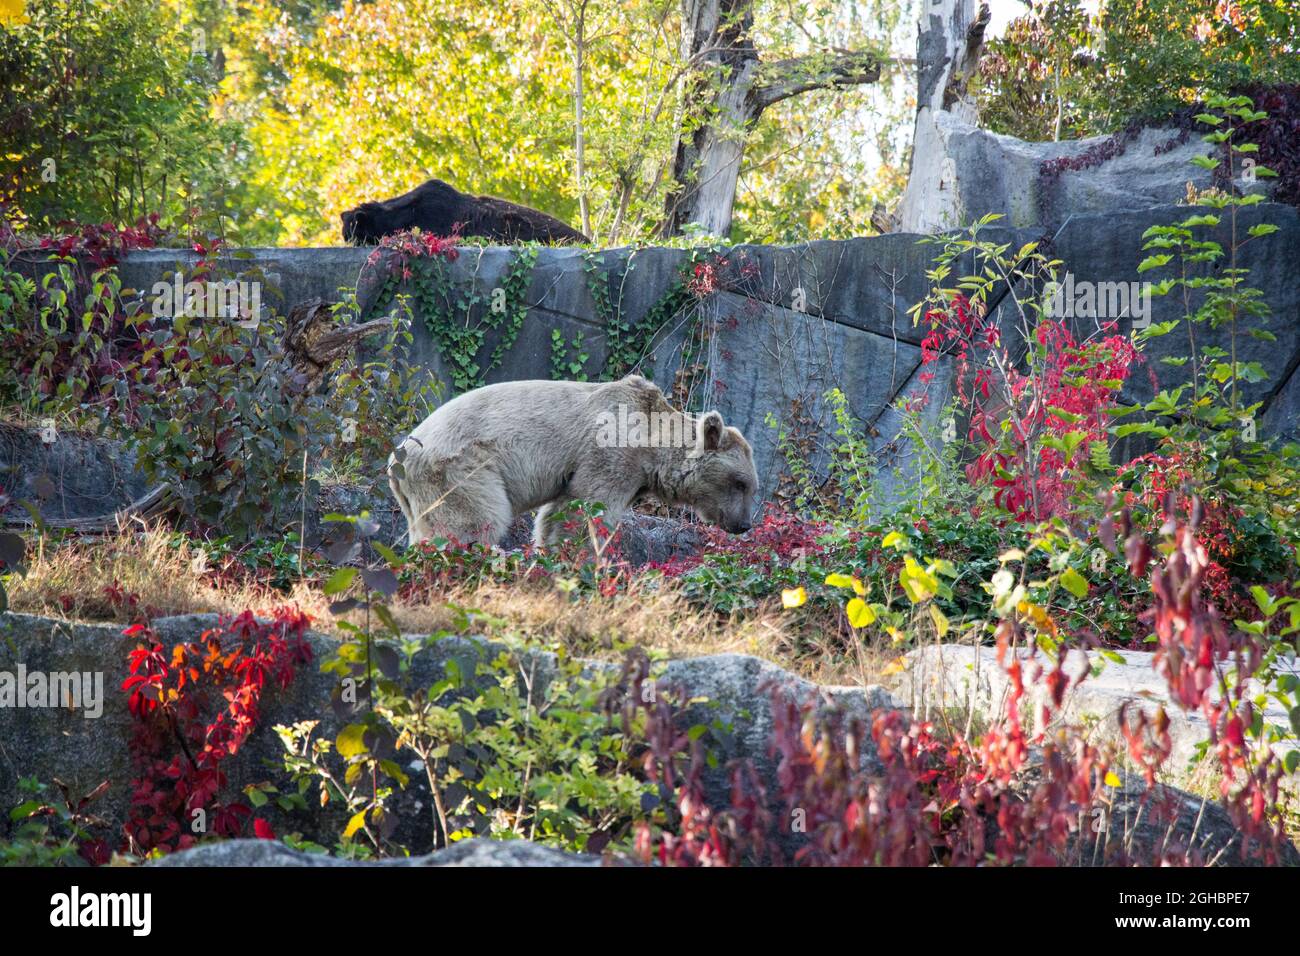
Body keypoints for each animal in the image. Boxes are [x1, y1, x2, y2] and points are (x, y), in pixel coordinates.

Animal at [386, 374, 757, 549]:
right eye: (740, 483)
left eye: (752, 487)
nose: (743, 525)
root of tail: (395, 461)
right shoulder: (609, 454)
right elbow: (588, 509)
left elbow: (558, 511)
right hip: (461, 468)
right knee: (471, 523)